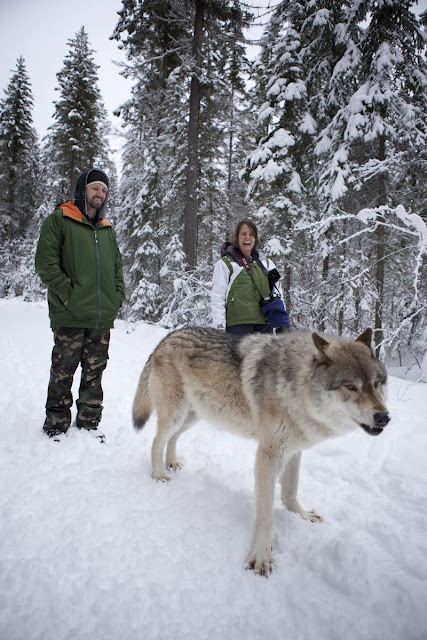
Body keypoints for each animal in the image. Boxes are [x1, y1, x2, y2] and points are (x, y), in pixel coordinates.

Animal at [132, 327, 390, 575]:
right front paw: (261, 556)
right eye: (351, 387)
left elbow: (290, 491)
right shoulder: (269, 454)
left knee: (172, 439)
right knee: (157, 440)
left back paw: (172, 463)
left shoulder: (294, 450)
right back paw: (159, 474)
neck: (295, 386)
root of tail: (169, 336)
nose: (384, 417)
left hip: (193, 417)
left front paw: (301, 516)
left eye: (376, 384)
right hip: (176, 415)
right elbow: (266, 514)